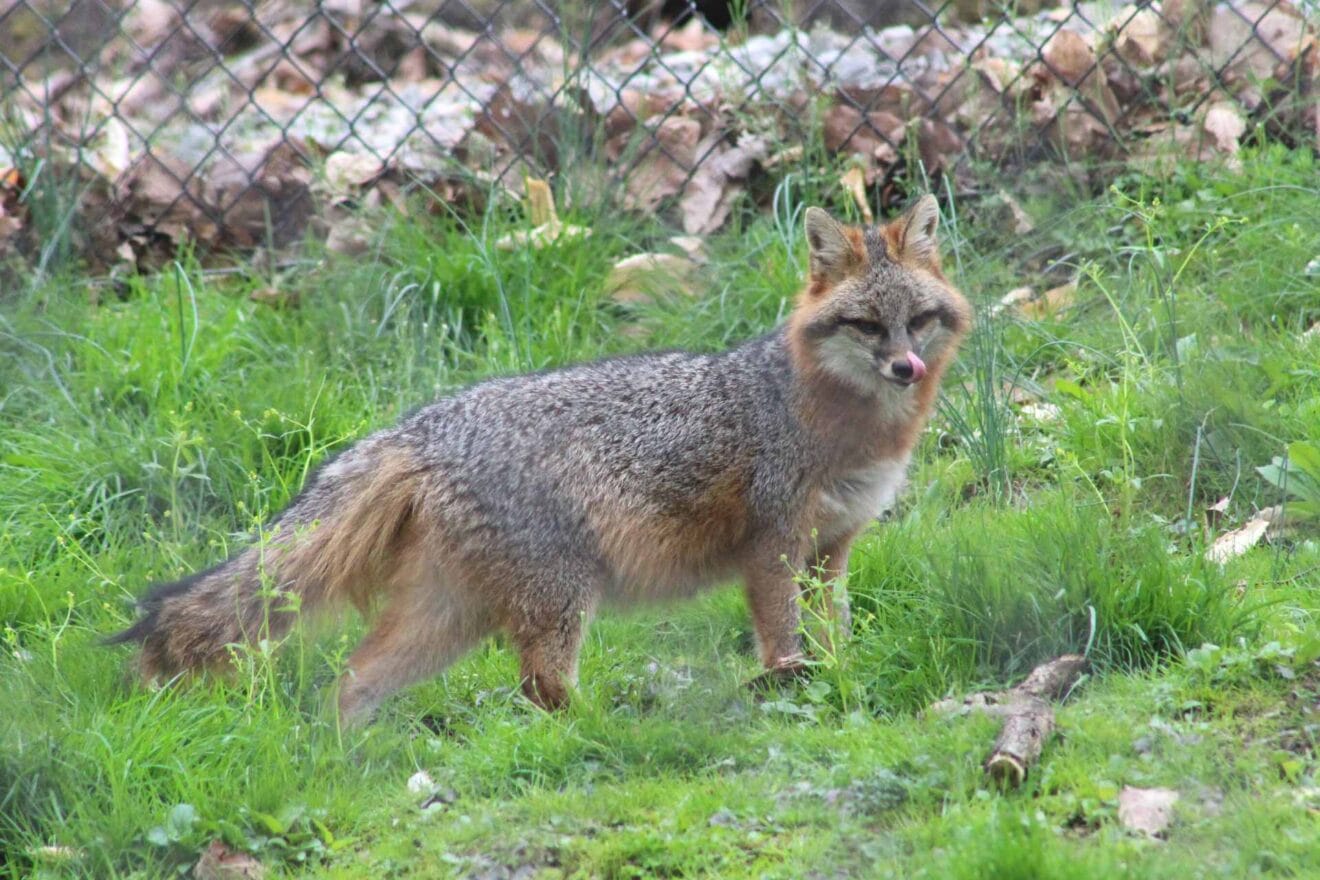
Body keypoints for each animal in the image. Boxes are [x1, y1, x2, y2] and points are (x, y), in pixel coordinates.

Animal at [108, 196, 972, 723]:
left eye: (919, 320)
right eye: (866, 326)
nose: (906, 369)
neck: (840, 423)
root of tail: (423, 426)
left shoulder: (833, 549)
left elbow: (837, 633)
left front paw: (840, 676)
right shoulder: (773, 547)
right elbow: (786, 640)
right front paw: (793, 686)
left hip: (449, 618)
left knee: (351, 681)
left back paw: (353, 757)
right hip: (559, 597)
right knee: (542, 687)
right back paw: (610, 729)